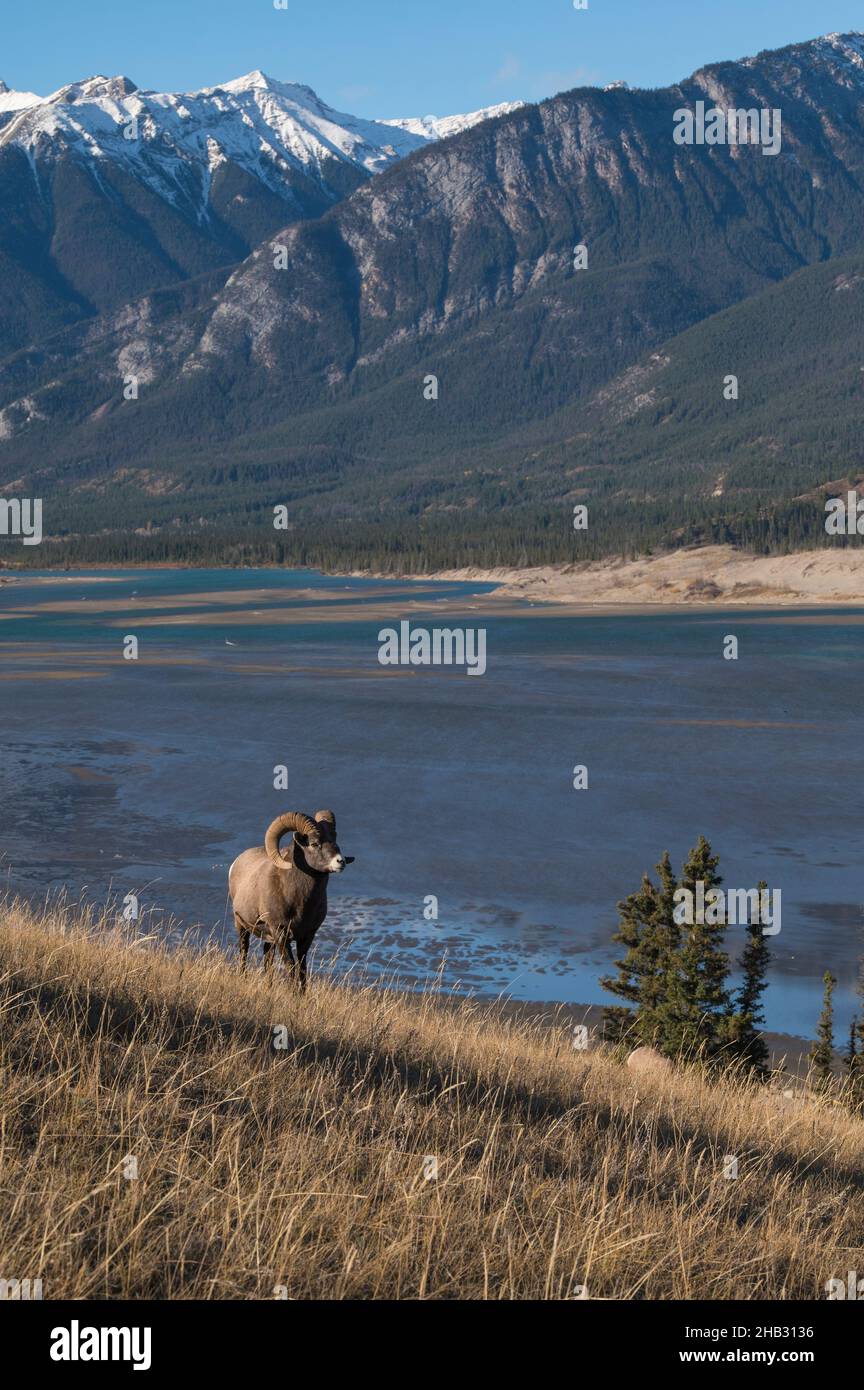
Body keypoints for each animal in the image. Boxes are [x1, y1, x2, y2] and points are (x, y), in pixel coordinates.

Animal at [228, 809, 354, 988]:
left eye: (335, 840)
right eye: (314, 844)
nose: (340, 861)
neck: (299, 902)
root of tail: (236, 863)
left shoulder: (306, 936)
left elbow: (302, 969)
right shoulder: (281, 933)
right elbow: (291, 967)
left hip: (268, 938)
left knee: (268, 957)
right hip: (242, 926)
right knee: (244, 952)